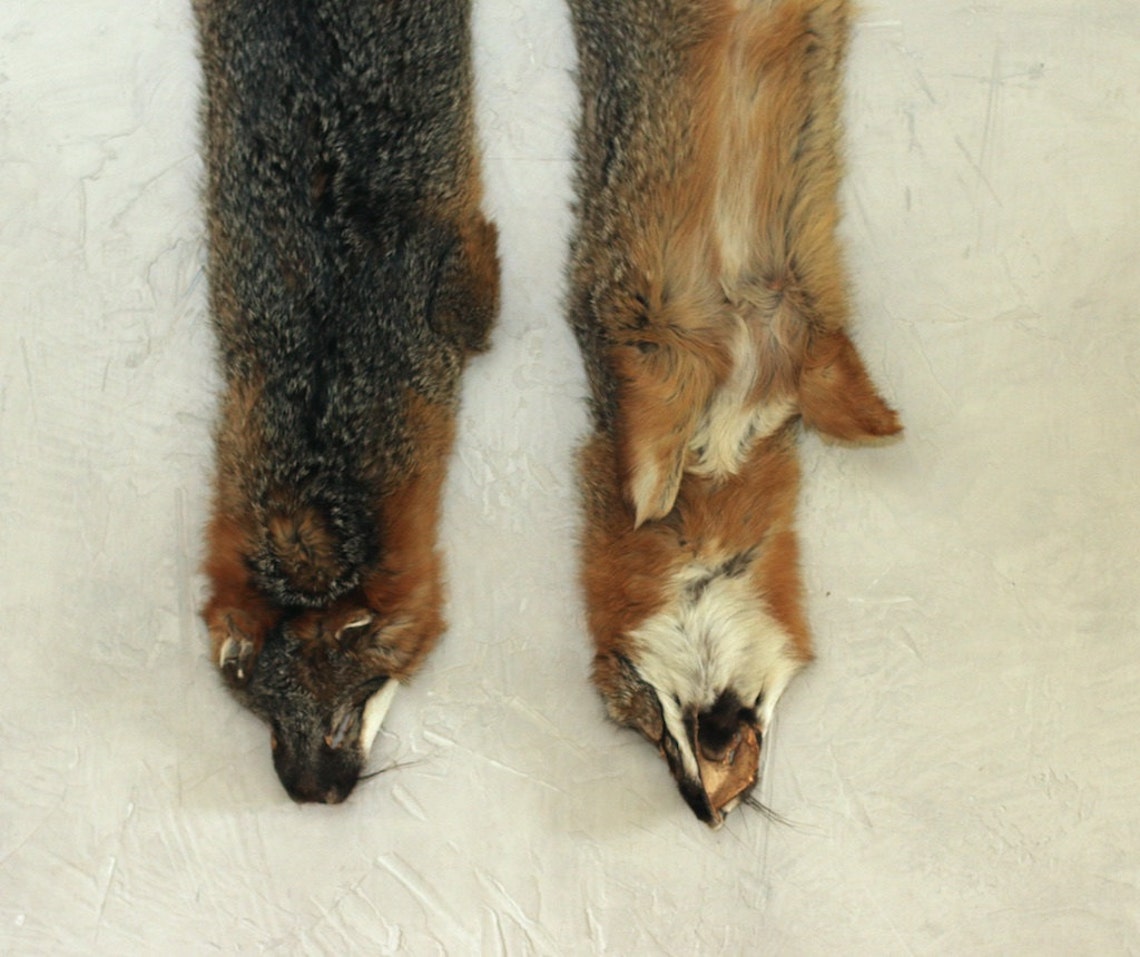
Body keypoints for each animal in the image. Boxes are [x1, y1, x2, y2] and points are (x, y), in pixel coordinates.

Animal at [566, 0, 901, 826]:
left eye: (652, 729)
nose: (701, 810)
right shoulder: (804, 344)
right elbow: (835, 384)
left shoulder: (632, 323)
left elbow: (644, 447)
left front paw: (646, 494)